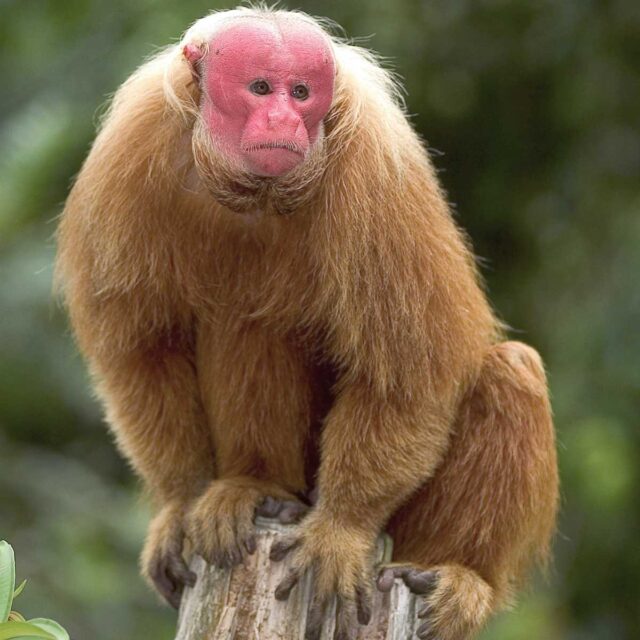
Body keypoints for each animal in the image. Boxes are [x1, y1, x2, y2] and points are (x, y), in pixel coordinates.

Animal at [55, 7, 558, 640]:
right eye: (260, 88)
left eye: (301, 93)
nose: (285, 119)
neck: (253, 194)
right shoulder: (125, 155)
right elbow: (139, 355)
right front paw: (177, 504)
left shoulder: (379, 169)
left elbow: (412, 377)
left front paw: (340, 530)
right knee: (246, 323)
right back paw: (259, 490)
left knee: (510, 370)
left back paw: (460, 575)